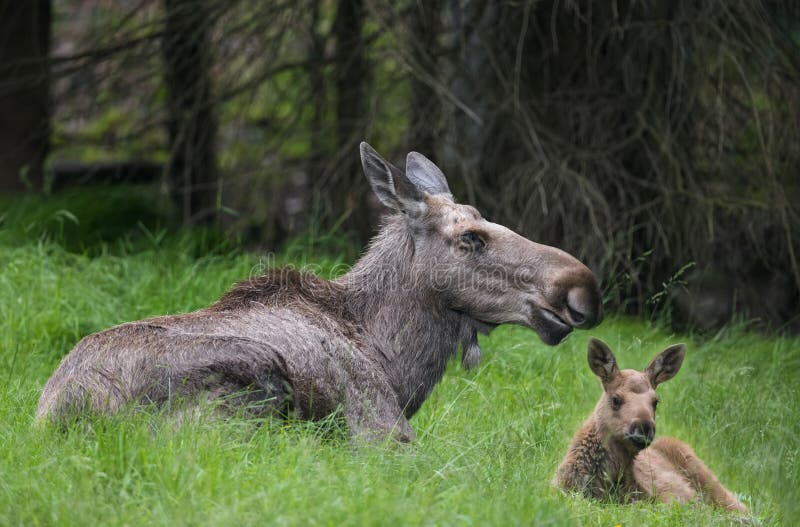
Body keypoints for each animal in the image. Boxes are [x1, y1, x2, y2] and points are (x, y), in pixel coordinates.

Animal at [37, 142, 601, 441]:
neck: (394, 358)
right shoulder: (383, 430)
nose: (583, 288)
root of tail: (64, 412)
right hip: (255, 378)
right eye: (471, 238)